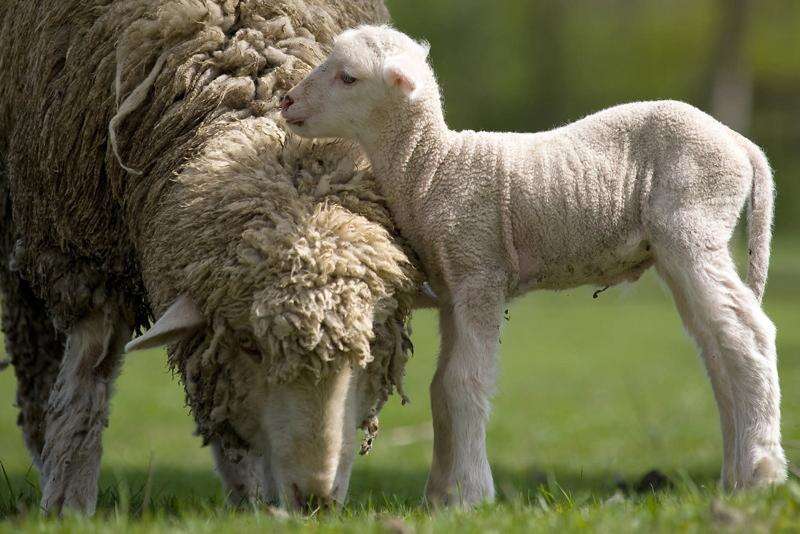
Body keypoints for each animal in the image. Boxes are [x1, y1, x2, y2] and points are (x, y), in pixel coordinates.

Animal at [0, 1, 421, 514]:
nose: (314, 500)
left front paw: (253, 500)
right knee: (38, 372)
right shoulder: (80, 257)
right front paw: (69, 504)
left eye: (369, 350)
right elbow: (86, 381)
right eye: (250, 346)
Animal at [282, 24, 786, 506]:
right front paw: (439, 495)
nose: (287, 100)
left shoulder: (479, 270)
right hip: (678, 247)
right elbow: (440, 388)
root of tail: (739, 142)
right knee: (718, 344)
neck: (432, 168)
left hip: (694, 221)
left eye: (348, 77)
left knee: (748, 332)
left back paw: (762, 473)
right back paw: (736, 475)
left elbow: (463, 383)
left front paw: (471, 495)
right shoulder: (452, 285)